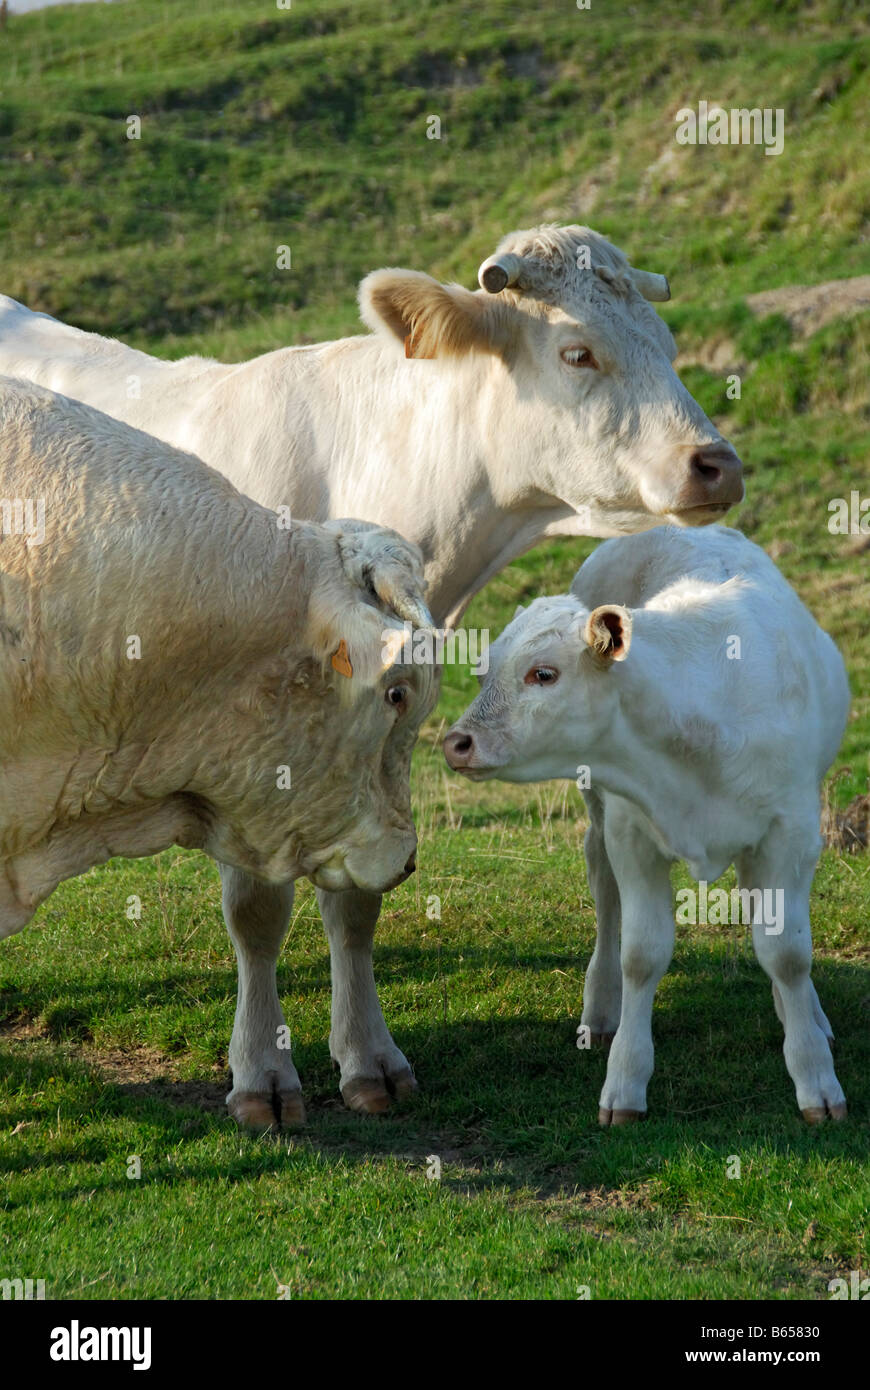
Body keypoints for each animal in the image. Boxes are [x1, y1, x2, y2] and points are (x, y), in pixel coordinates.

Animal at [444, 526, 849, 1126]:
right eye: (483, 672)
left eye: (543, 673)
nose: (456, 742)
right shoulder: (630, 834)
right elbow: (640, 955)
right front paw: (625, 1081)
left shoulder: (791, 833)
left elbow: (787, 953)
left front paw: (815, 1076)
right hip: (597, 815)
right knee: (605, 897)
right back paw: (600, 1009)